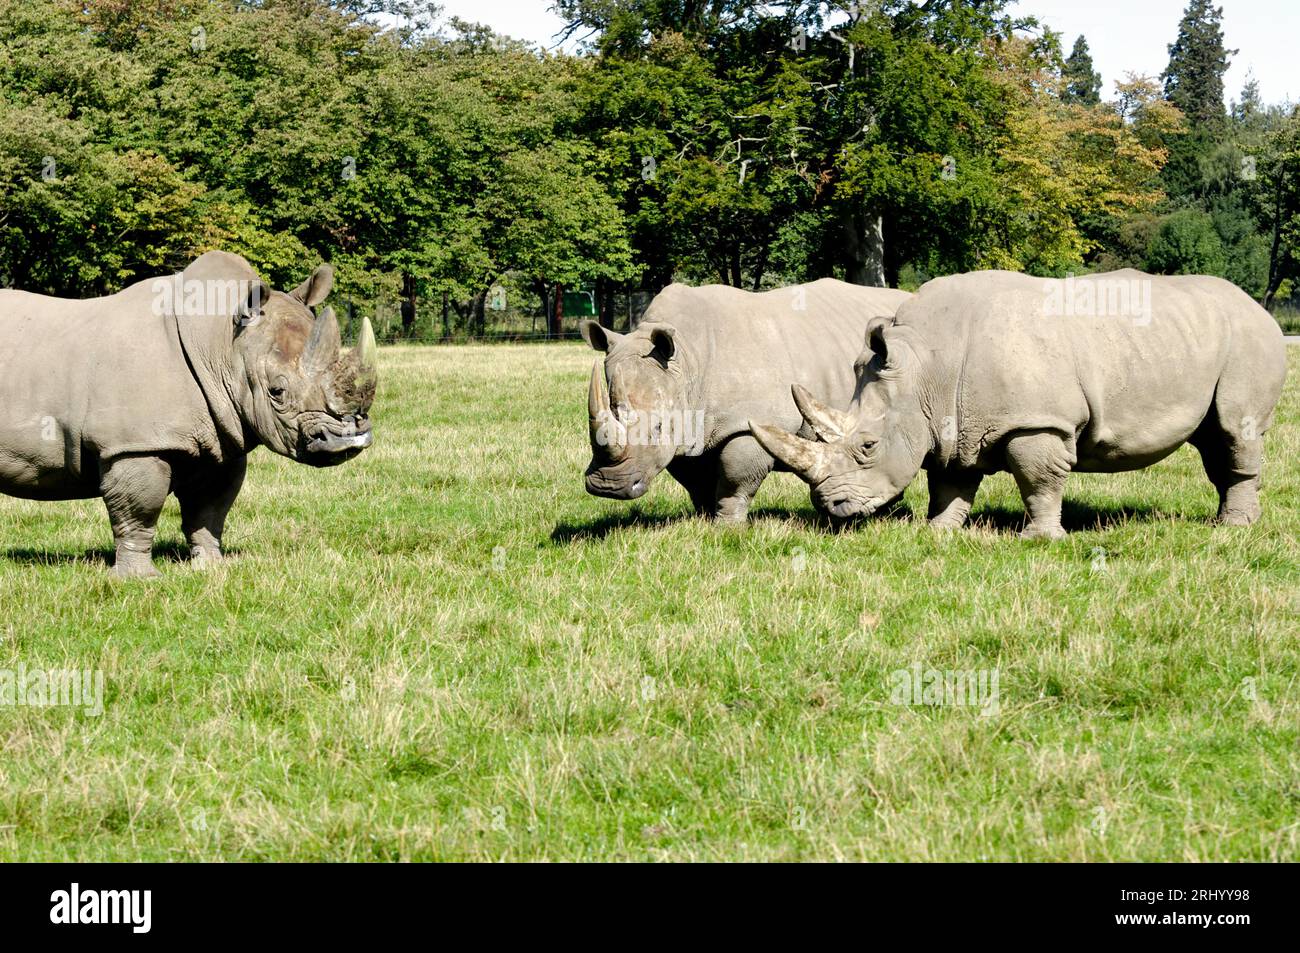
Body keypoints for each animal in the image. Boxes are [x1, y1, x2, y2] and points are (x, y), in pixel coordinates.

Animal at [0, 250, 377, 576]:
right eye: (277, 392)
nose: (349, 438)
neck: (221, 343)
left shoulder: (222, 436)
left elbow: (210, 510)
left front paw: (212, 568)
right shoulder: (133, 444)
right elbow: (138, 511)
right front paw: (138, 580)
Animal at [581, 279, 911, 522]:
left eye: (658, 428)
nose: (608, 486)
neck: (687, 360)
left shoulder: (747, 422)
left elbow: (734, 477)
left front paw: (728, 527)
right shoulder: (687, 427)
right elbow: (695, 482)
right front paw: (702, 521)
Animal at [751, 270, 1287, 537]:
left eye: (868, 446)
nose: (830, 508)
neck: (927, 369)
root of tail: (1259, 307)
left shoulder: (1037, 422)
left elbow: (1038, 480)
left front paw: (1042, 540)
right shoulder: (949, 421)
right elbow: (948, 481)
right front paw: (937, 532)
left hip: (1250, 338)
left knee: (1234, 430)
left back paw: (1234, 530)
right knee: (1212, 439)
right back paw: (1226, 522)